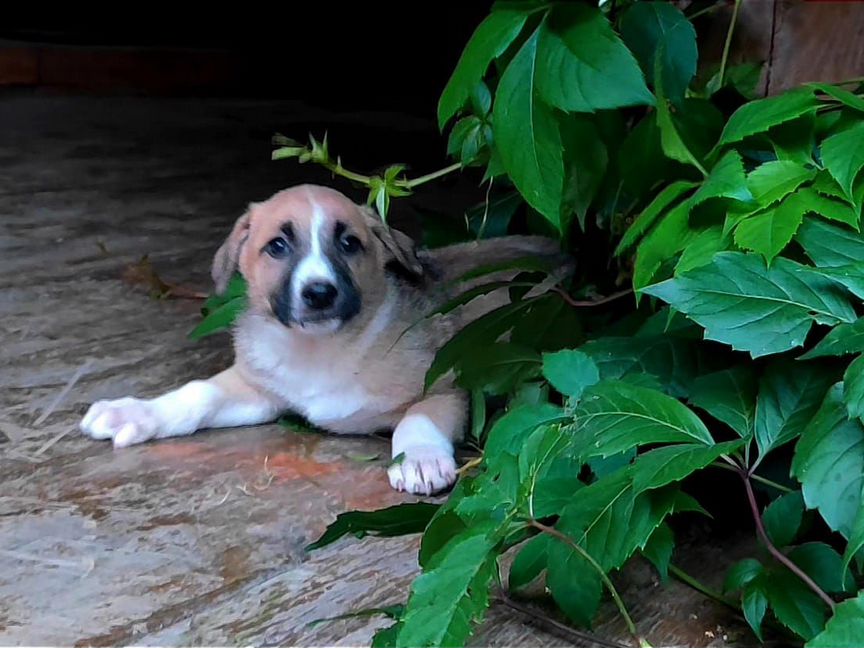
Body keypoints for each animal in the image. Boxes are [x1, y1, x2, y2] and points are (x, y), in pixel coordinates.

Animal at [81, 185, 564, 494]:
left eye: (349, 243)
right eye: (277, 246)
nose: (319, 293)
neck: (321, 350)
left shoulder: (446, 385)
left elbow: (416, 418)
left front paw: (420, 459)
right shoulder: (259, 388)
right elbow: (198, 394)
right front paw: (136, 412)